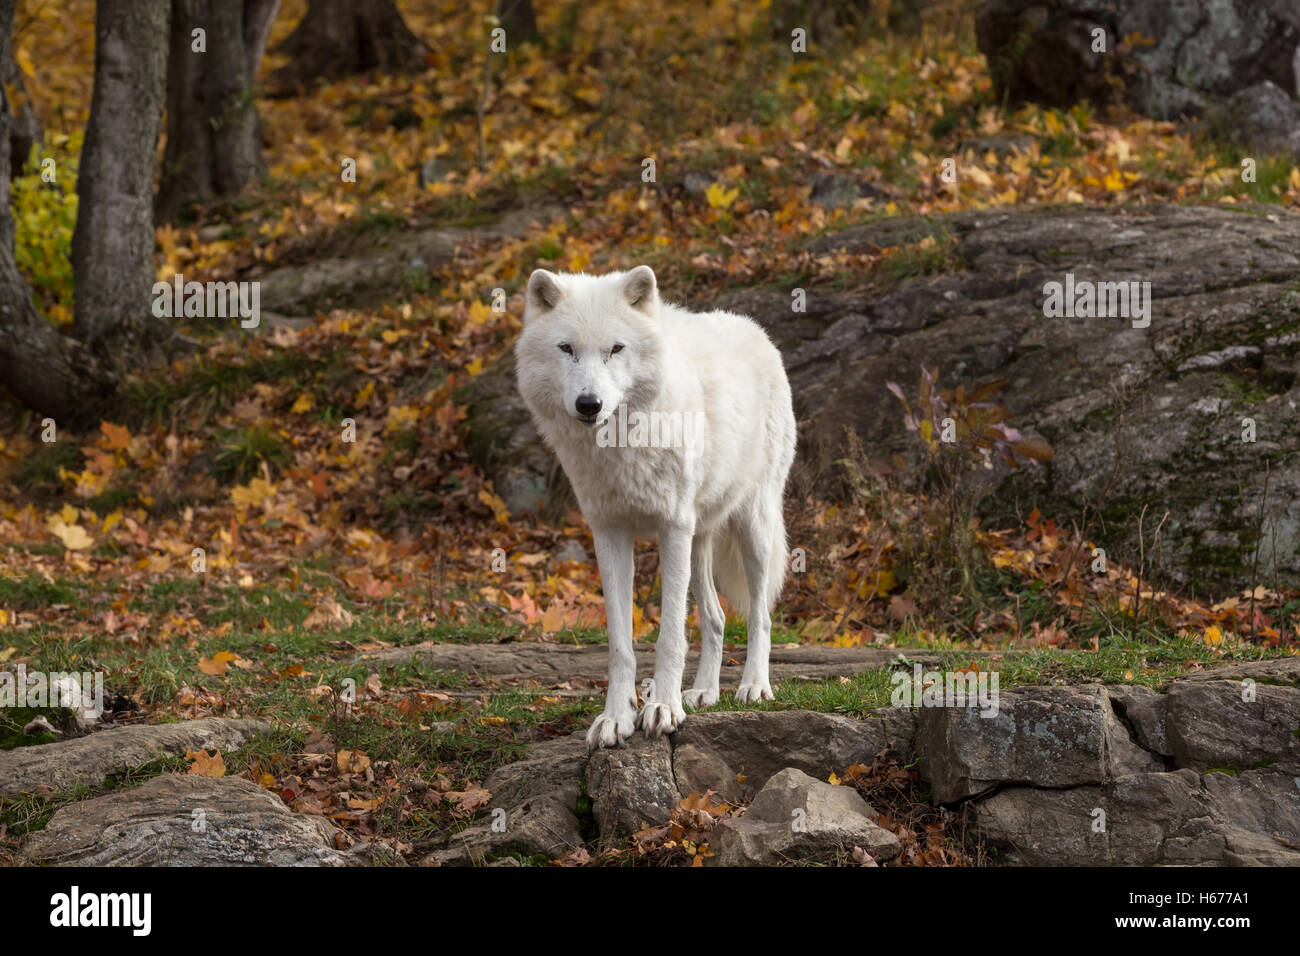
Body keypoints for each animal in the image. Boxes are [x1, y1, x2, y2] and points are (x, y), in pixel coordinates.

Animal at [516, 266, 797, 750]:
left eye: (616, 349)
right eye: (567, 348)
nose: (588, 404)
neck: (619, 446)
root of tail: (753, 329)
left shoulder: (671, 527)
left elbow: (669, 637)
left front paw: (663, 708)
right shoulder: (609, 532)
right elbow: (620, 644)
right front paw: (616, 718)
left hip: (752, 528)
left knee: (759, 615)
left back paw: (753, 687)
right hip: (700, 542)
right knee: (717, 619)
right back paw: (703, 693)